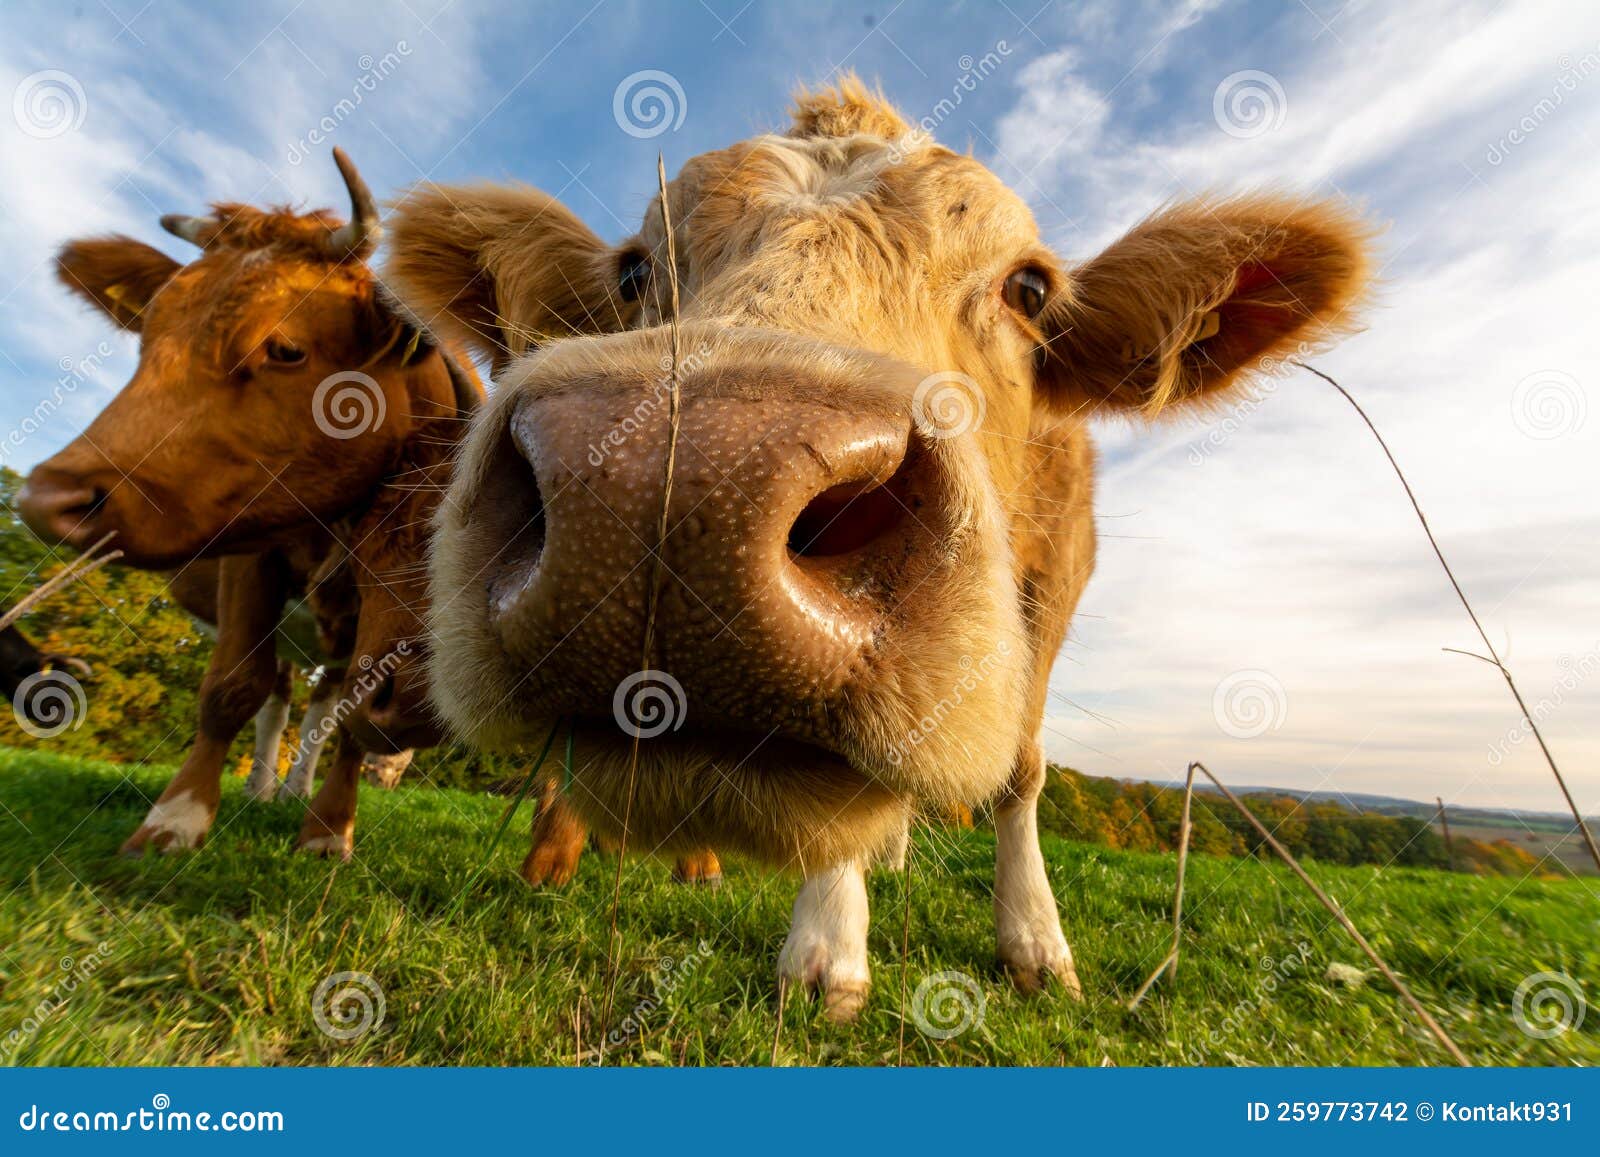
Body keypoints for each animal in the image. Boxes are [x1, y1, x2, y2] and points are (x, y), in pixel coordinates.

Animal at [386, 79, 1374, 1019]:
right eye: (633, 271)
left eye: (1029, 289)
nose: (670, 490)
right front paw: (830, 949)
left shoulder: (1060, 577)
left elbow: (1022, 769)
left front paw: (1036, 943)